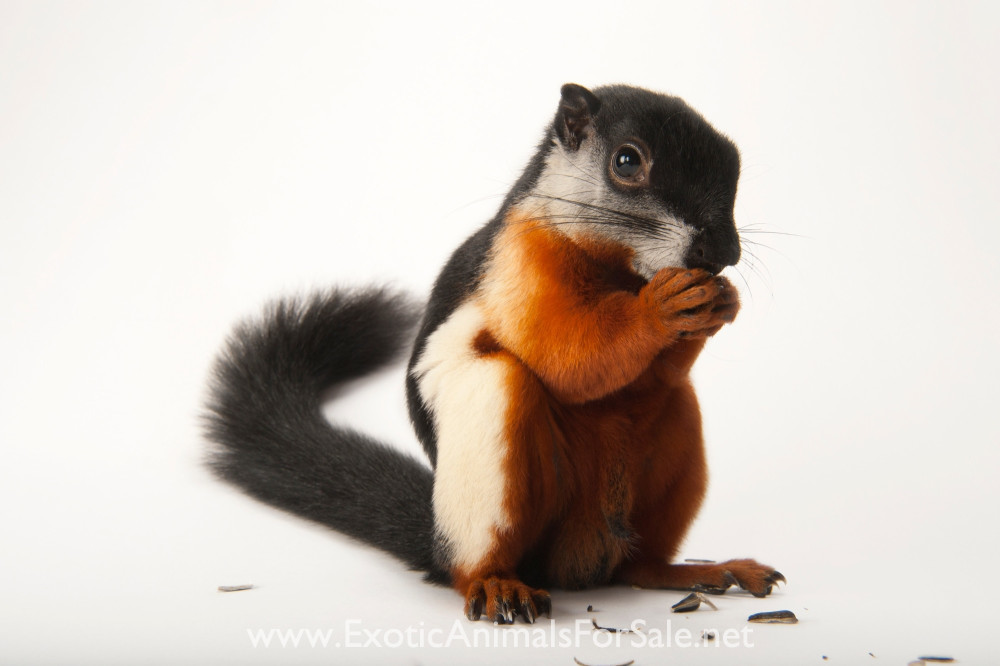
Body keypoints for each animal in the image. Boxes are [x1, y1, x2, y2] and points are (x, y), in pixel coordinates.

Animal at [204, 83, 783, 625]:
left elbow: (647, 374)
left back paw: (706, 571)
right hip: (490, 432)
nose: (724, 253)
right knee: (475, 557)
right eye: (626, 161)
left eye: (732, 162)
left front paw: (721, 300)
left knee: (639, 561)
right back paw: (499, 585)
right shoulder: (519, 263)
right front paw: (659, 308)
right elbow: (566, 353)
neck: (617, 265)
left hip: (672, 442)